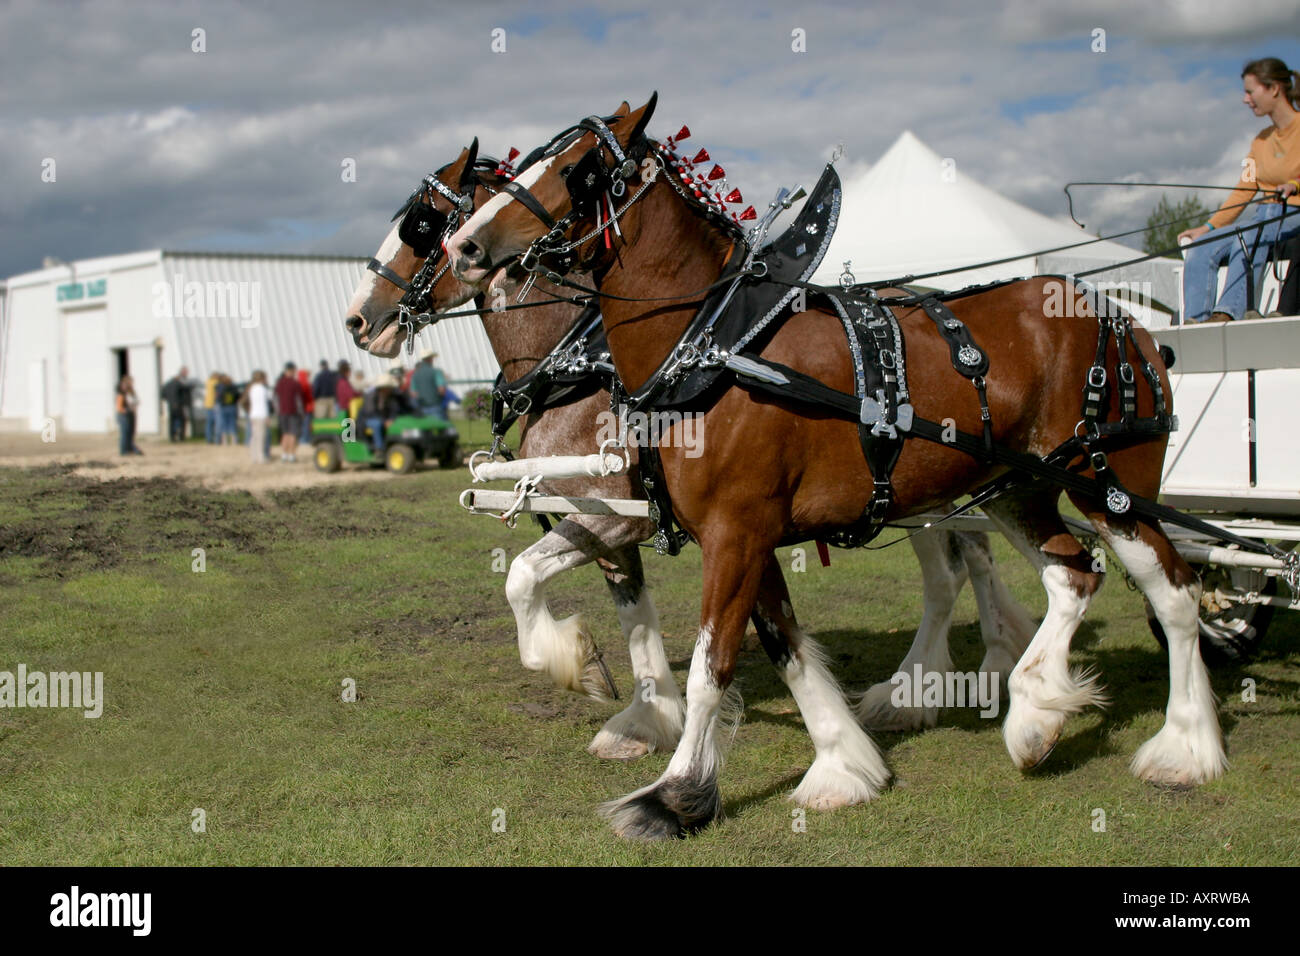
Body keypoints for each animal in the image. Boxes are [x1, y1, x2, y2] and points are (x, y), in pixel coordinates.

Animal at [343, 140, 1034, 763]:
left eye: (422, 224)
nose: (356, 320)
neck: (580, 364)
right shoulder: (613, 521)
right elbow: (631, 613)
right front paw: (646, 716)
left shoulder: (612, 513)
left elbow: (521, 577)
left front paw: (576, 663)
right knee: (969, 554)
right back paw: (980, 662)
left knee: (955, 566)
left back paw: (933, 684)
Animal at [444, 97, 1223, 840]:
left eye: (576, 170)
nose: (465, 244)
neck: (711, 347)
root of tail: (1126, 320)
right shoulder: (743, 535)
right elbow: (782, 645)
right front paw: (841, 765)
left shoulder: (734, 533)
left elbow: (711, 668)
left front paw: (675, 797)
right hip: (1021, 488)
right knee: (1072, 574)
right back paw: (1034, 710)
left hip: (1112, 488)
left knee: (1174, 592)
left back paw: (1183, 746)